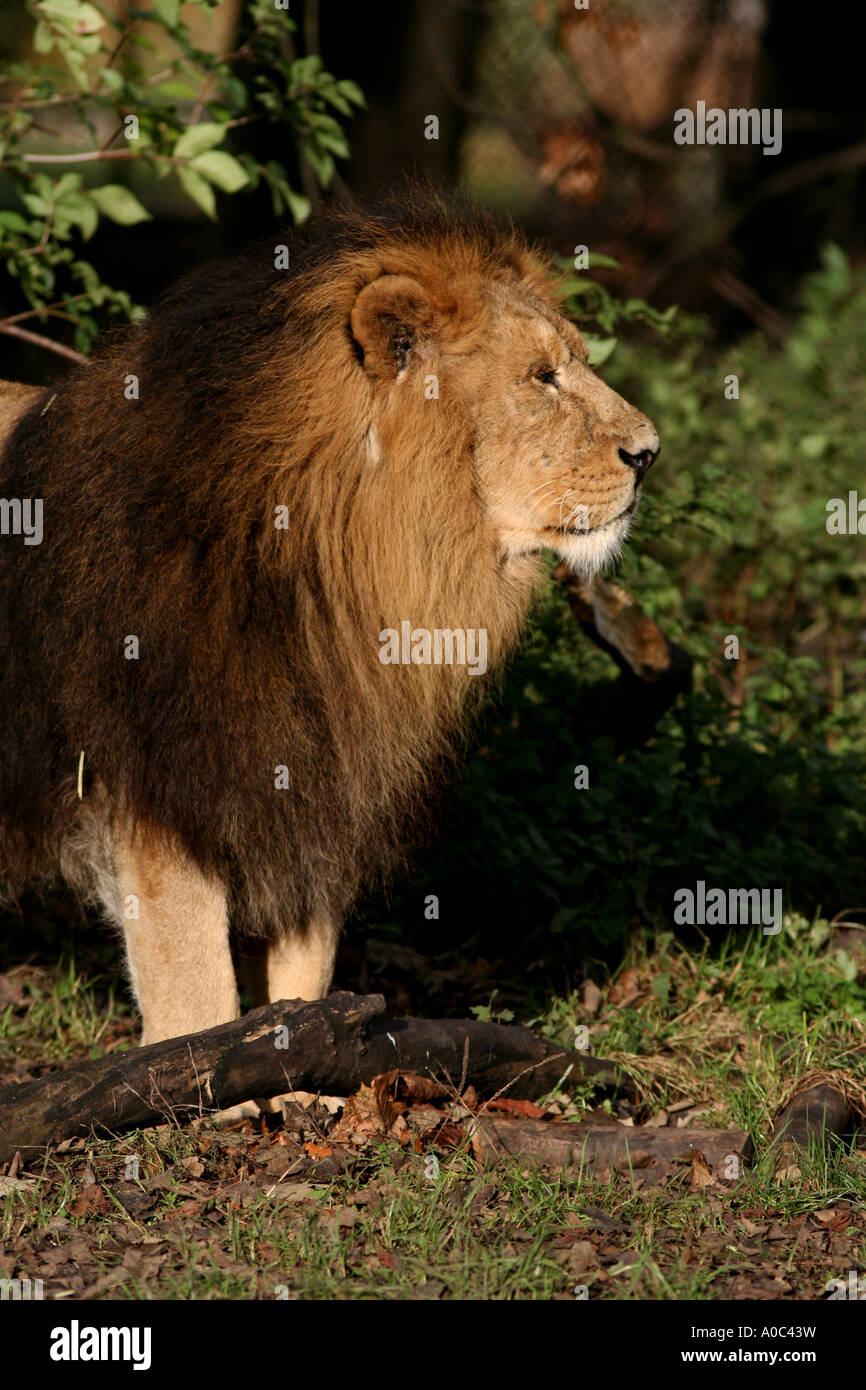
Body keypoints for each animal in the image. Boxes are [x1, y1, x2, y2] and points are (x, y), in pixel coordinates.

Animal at [0, 188, 658, 1045]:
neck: (330, 576)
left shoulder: (319, 786)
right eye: (542, 377)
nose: (651, 452)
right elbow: (196, 997)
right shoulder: (158, 800)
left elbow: (305, 971)